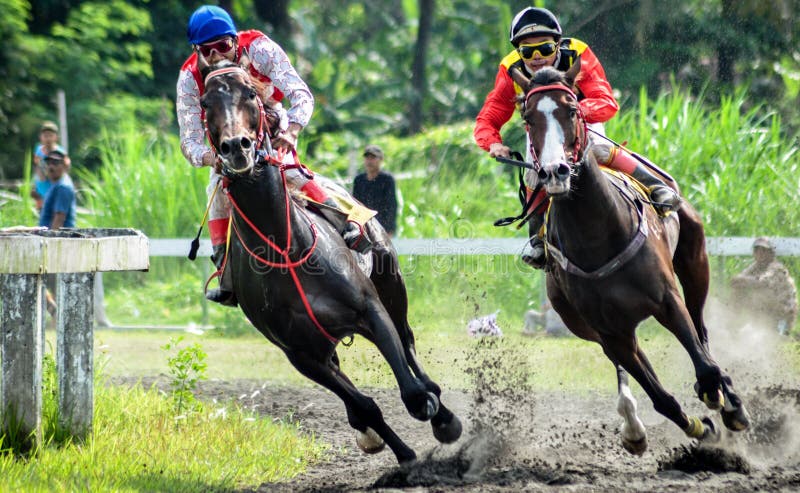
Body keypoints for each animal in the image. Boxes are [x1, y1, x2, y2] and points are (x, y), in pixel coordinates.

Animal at [197, 57, 461, 464]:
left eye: (250, 94)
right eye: (206, 102)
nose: (236, 147)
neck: (285, 250)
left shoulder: (370, 310)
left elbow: (414, 391)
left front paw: (438, 417)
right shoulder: (302, 355)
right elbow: (365, 406)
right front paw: (401, 453)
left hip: (391, 285)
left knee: (408, 343)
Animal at [509, 60, 750, 454]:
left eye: (572, 110)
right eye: (528, 118)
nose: (554, 172)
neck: (598, 236)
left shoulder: (667, 300)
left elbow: (705, 367)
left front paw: (726, 404)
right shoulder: (609, 330)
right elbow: (661, 398)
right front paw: (700, 428)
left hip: (694, 260)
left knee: (701, 331)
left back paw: (724, 396)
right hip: (588, 325)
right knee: (632, 365)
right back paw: (634, 424)